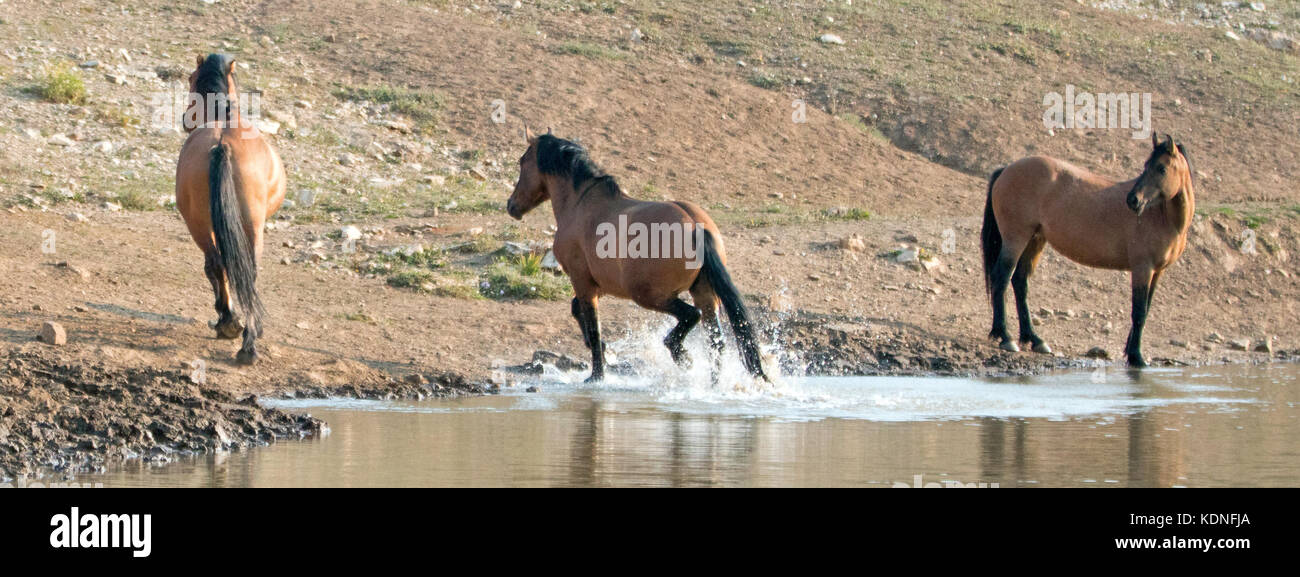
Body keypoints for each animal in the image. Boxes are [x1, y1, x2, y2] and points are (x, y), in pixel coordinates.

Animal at [175, 54, 286, 364]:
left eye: (189, 78)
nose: (185, 120)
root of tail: (222, 144)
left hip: (200, 224)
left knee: (219, 264)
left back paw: (233, 326)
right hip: (248, 225)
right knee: (243, 269)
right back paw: (242, 336)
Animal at [506, 127, 768, 383]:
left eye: (522, 161)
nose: (511, 206)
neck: (580, 203)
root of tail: (696, 226)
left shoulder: (582, 281)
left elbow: (593, 324)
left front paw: (597, 375)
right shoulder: (599, 284)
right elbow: (577, 310)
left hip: (649, 295)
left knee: (691, 316)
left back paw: (681, 355)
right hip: (703, 293)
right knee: (715, 341)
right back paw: (712, 382)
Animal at [980, 133, 1195, 367]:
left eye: (1161, 168)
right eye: (1147, 166)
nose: (1133, 200)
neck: (1162, 217)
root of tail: (1007, 169)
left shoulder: (1157, 272)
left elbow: (1145, 311)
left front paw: (1131, 352)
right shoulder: (1142, 269)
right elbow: (1138, 312)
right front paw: (1136, 357)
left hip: (1034, 241)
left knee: (1020, 282)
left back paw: (1034, 339)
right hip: (1015, 239)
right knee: (1001, 278)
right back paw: (1005, 337)